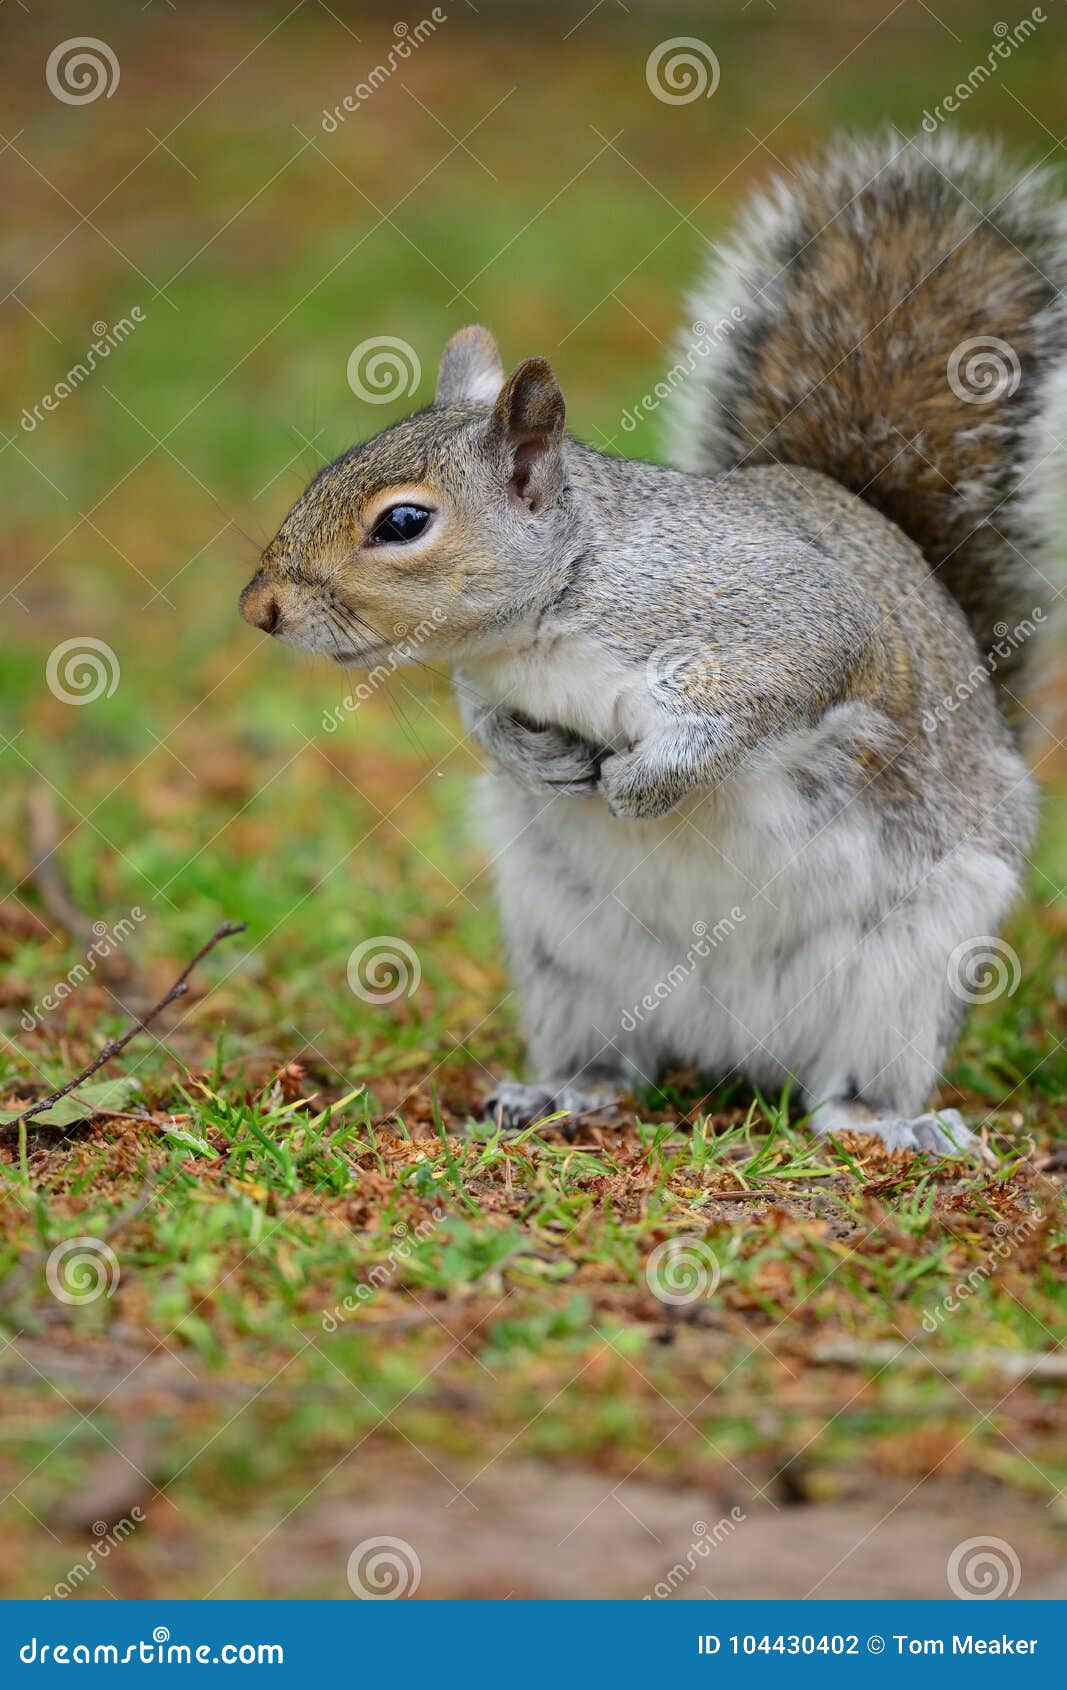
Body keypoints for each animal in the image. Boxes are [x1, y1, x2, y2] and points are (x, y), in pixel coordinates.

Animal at [240, 132, 1066, 1157]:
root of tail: (735, 1042)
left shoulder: (775, 613)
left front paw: (643, 783)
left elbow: (782, 682)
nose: (260, 607)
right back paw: (562, 1093)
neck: (542, 623)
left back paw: (889, 1124)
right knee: (614, 1061)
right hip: (567, 958)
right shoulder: (491, 677)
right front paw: (535, 758)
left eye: (402, 522)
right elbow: (484, 719)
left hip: (913, 964)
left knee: (846, 1089)